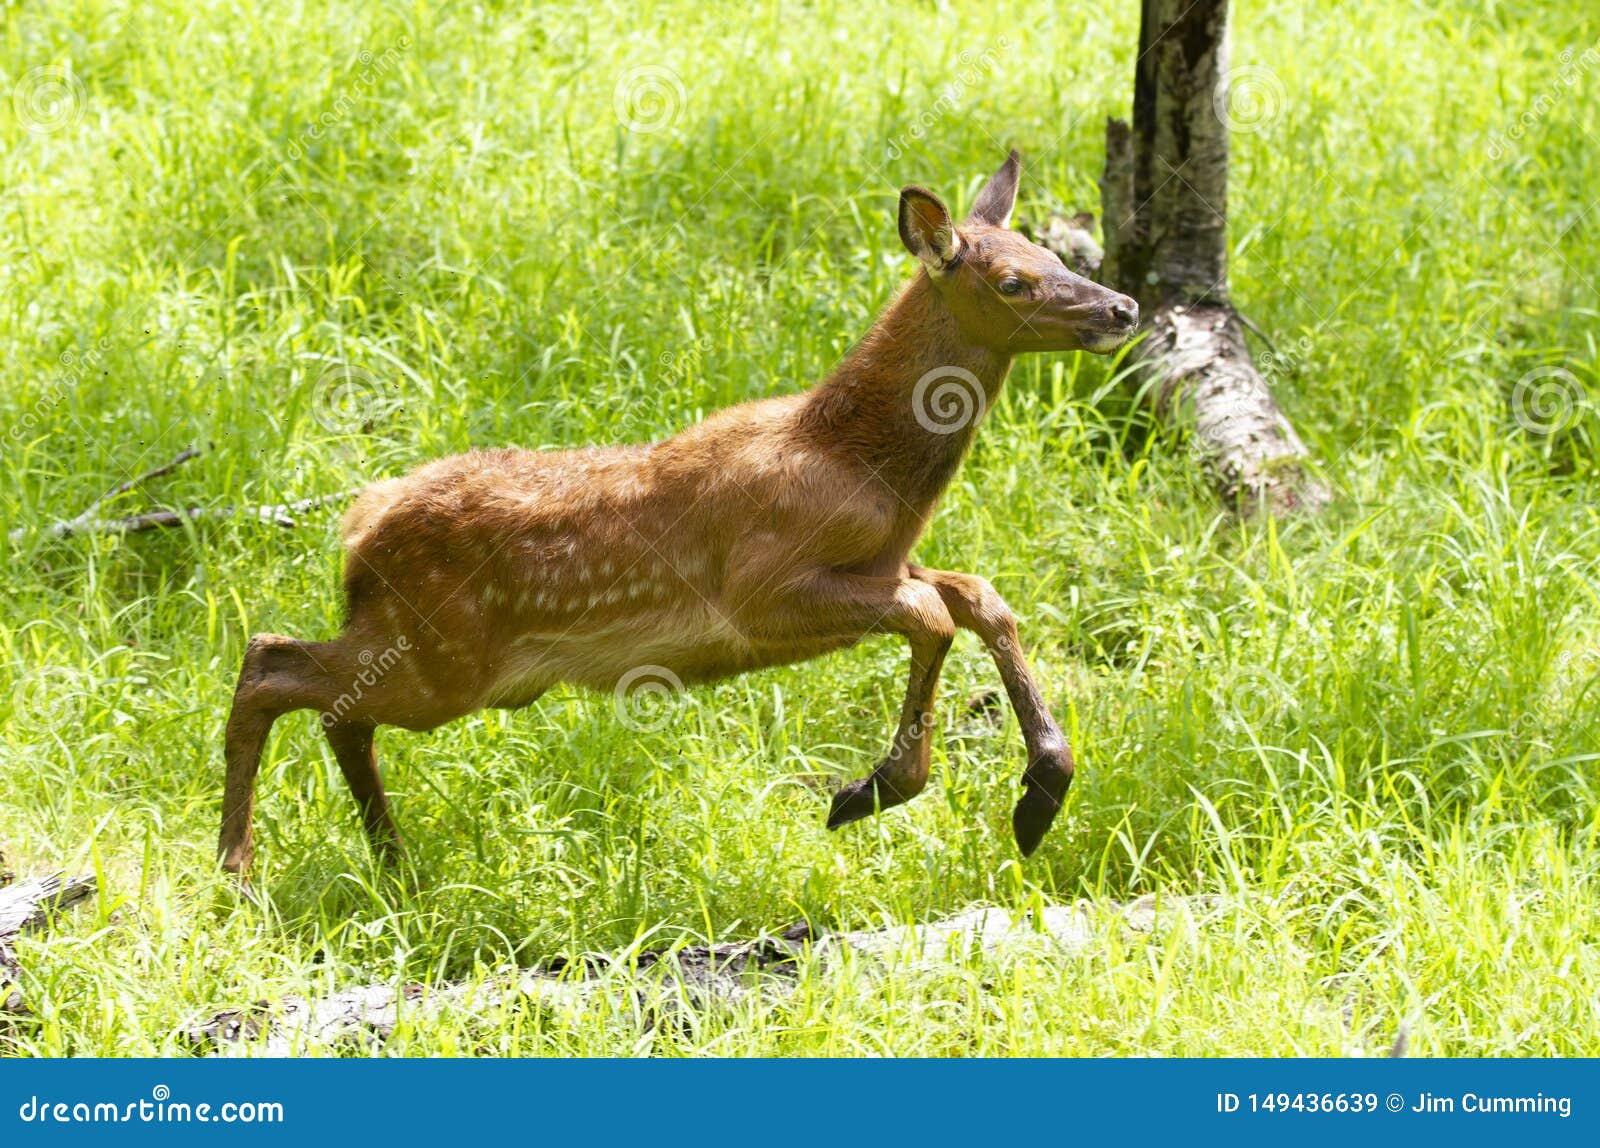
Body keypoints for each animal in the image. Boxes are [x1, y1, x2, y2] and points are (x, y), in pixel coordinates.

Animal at [218, 151, 1139, 879]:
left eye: (1048, 249)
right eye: (1013, 280)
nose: (1123, 308)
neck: (857, 466)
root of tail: (357, 530)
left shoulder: (885, 563)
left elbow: (978, 596)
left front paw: (1043, 789)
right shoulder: (760, 588)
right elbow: (931, 613)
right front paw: (872, 789)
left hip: (429, 651)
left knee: (328, 703)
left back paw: (390, 861)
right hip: (442, 656)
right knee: (274, 666)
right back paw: (241, 870)